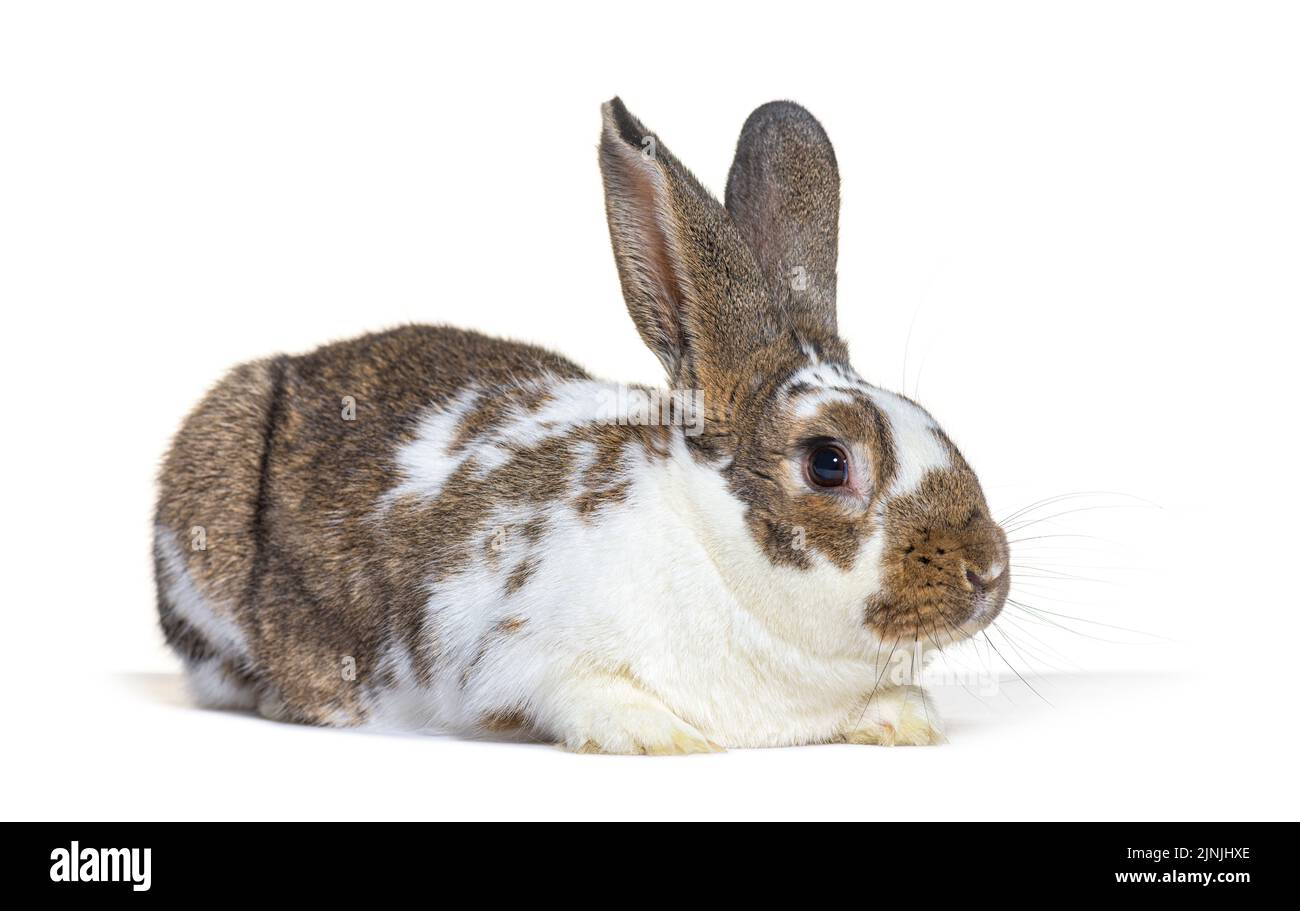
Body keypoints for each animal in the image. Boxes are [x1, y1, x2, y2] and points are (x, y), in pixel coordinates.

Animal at [153, 97, 1009, 753]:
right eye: (829, 462)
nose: (988, 572)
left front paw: (905, 720)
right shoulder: (510, 648)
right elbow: (576, 689)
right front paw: (660, 736)